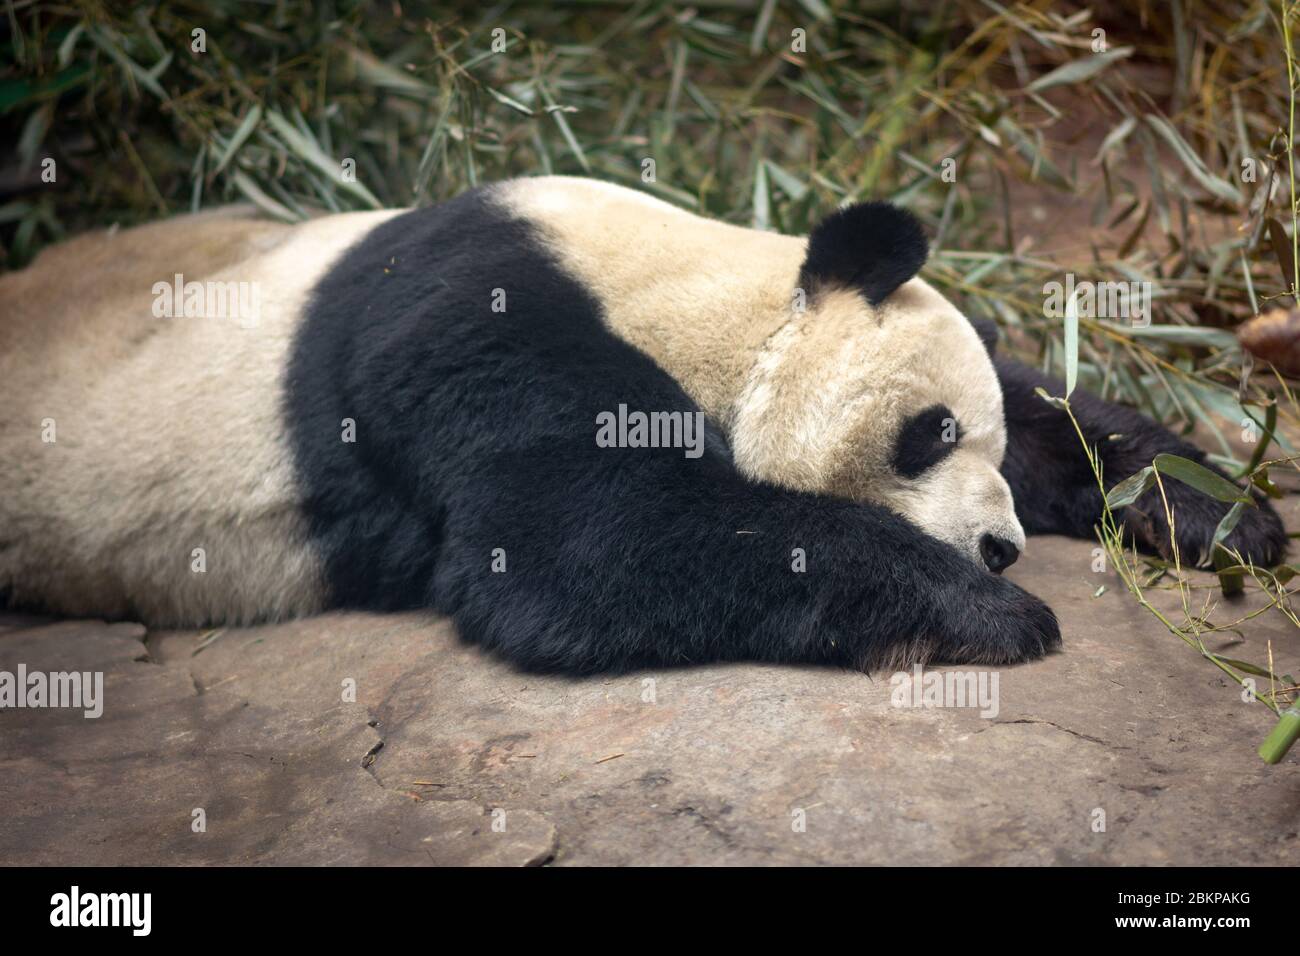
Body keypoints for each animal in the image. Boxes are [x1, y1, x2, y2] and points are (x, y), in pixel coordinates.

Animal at [0, 176, 1286, 672]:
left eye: (969, 440)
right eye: (923, 434)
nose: (1000, 545)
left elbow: (1046, 411)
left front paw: (1222, 513)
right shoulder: (482, 332)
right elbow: (581, 543)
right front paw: (985, 610)